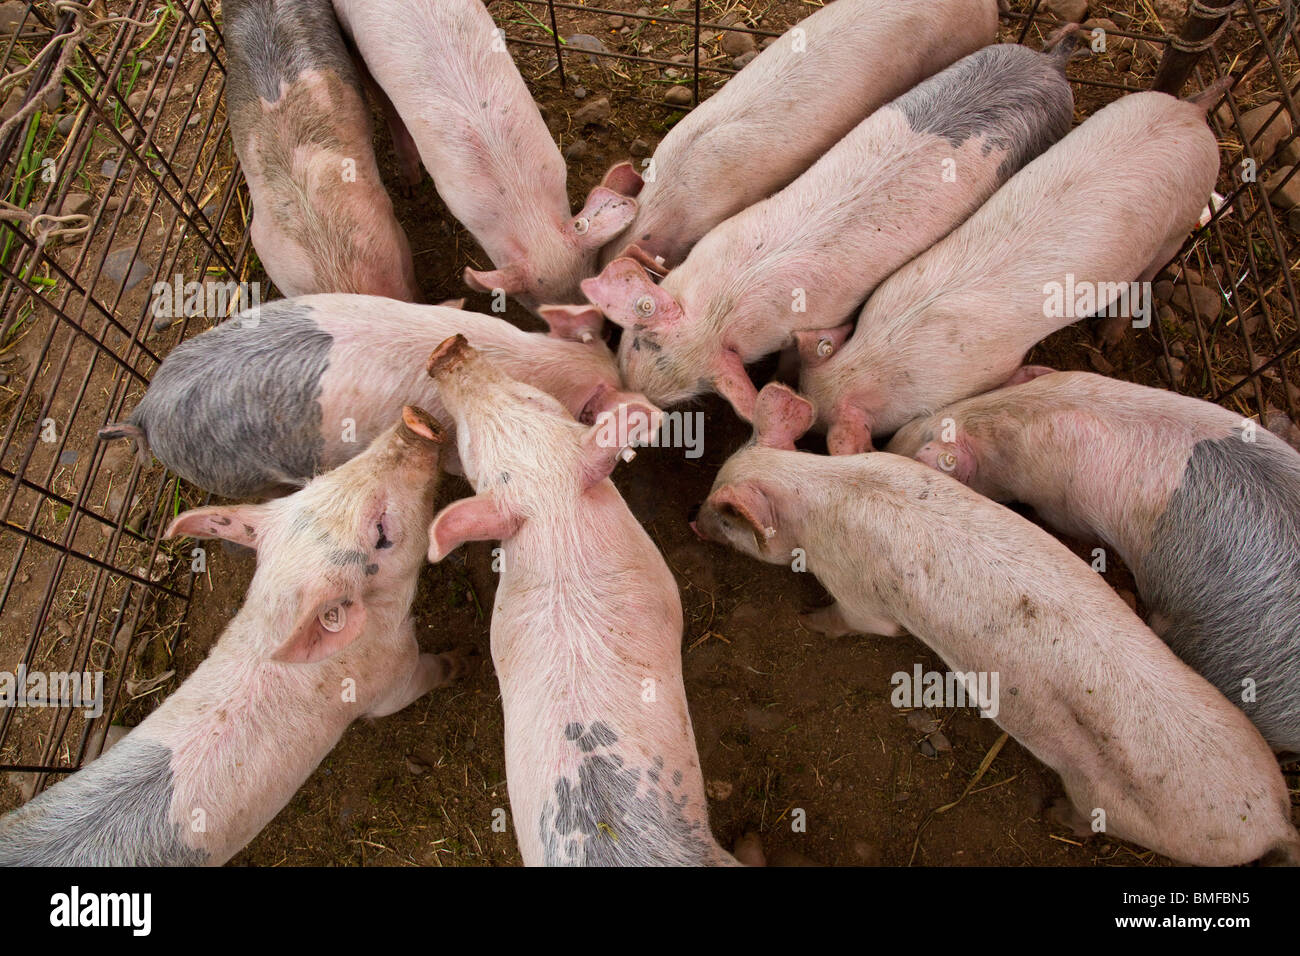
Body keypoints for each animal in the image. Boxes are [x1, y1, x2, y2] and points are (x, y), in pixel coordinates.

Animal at [0, 408, 471, 865]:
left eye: (319, 480)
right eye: (381, 534)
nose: (413, 419)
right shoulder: (391, 676)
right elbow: (423, 677)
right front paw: (464, 659)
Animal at [799, 89, 1222, 453]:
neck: (878, 357)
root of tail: (1192, 111)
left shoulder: (989, 369)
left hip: (1181, 220)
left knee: (1149, 274)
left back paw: (1107, 339)